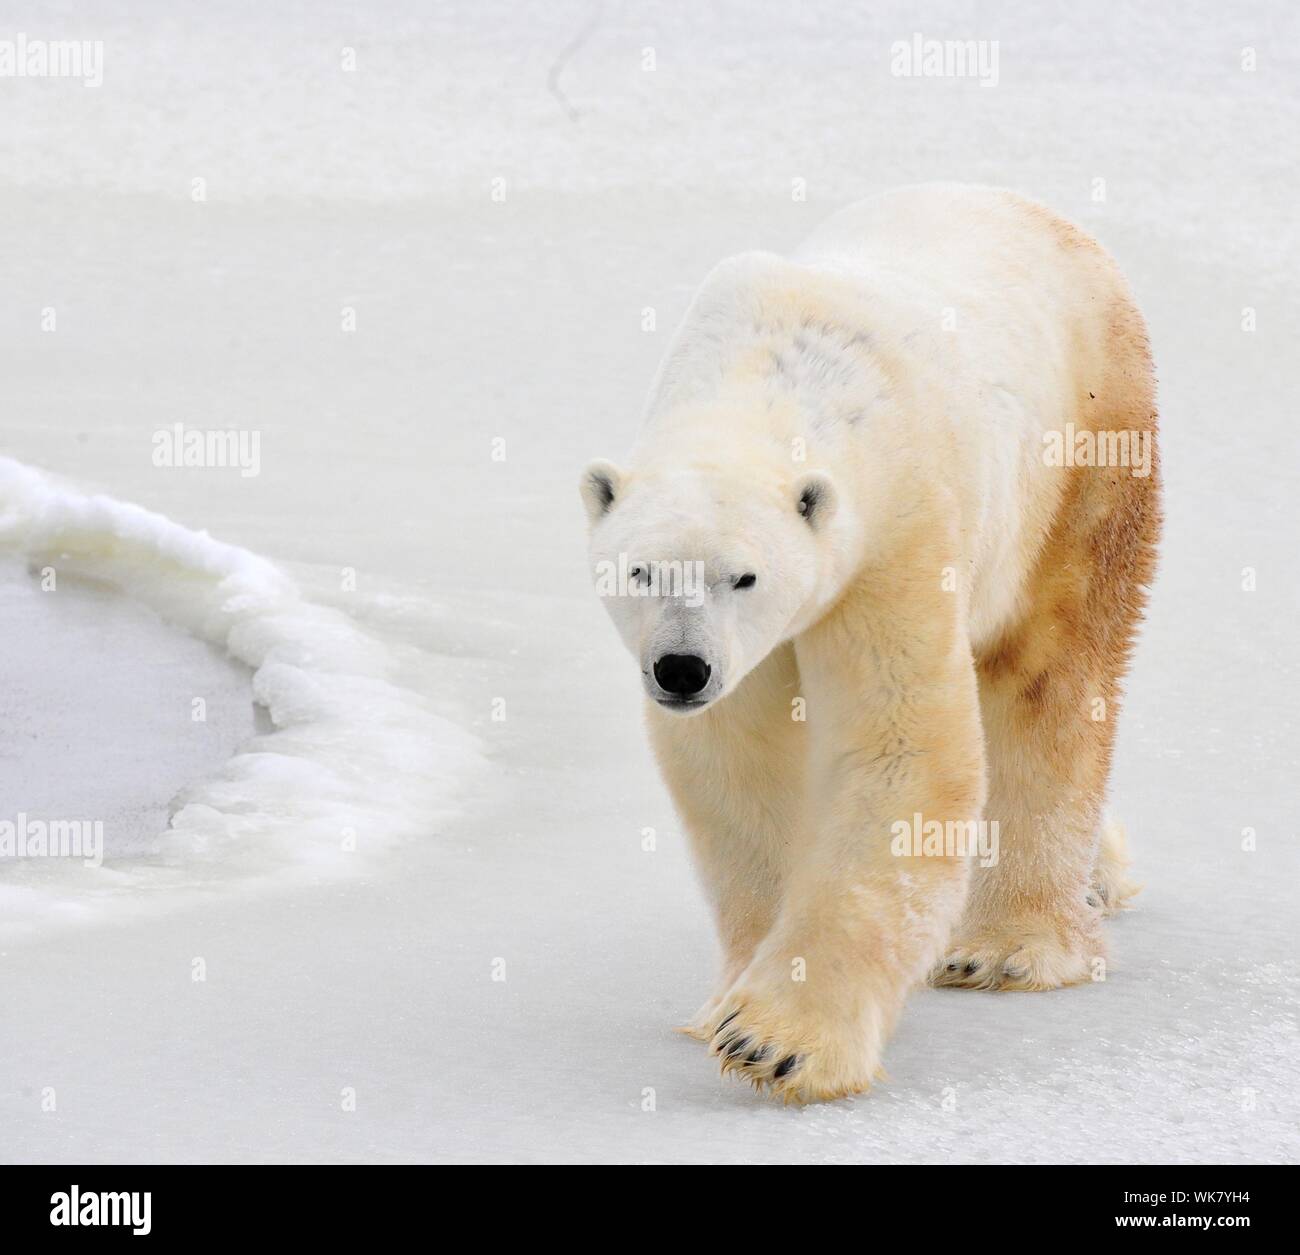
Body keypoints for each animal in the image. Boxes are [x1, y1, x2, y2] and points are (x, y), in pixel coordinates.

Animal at [581, 183, 1160, 1103]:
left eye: (744, 576)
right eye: (641, 571)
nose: (681, 667)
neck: (774, 373)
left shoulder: (895, 531)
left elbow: (900, 749)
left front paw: (777, 1040)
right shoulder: (750, 654)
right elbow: (738, 768)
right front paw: (728, 1001)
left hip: (1082, 458)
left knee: (1048, 675)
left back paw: (1011, 946)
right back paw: (1101, 876)